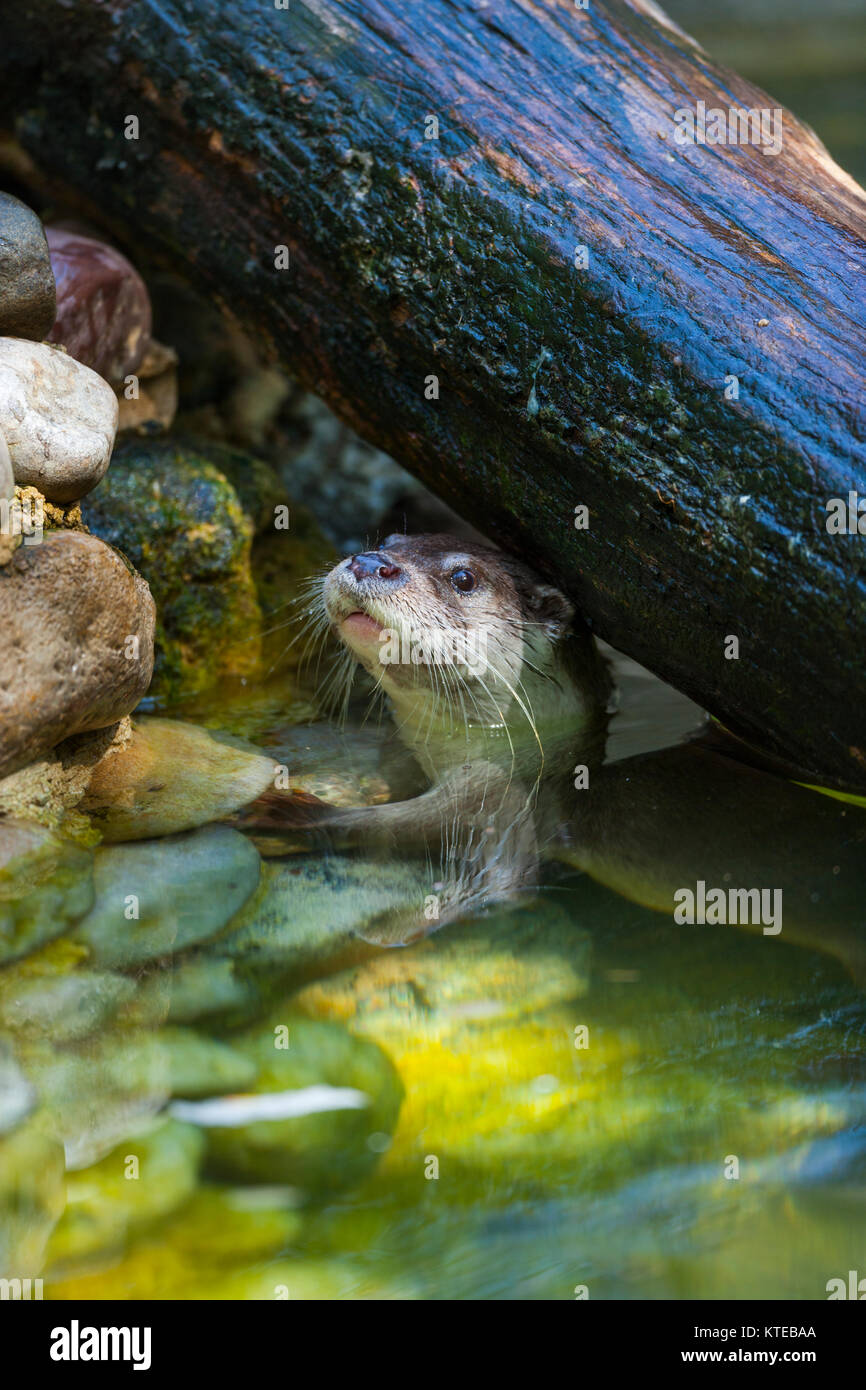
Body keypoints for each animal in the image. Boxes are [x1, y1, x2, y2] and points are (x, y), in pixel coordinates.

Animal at [285, 533, 866, 975]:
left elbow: (414, 828)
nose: (368, 561)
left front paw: (290, 815)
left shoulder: (501, 790)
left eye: (464, 579)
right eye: (389, 541)